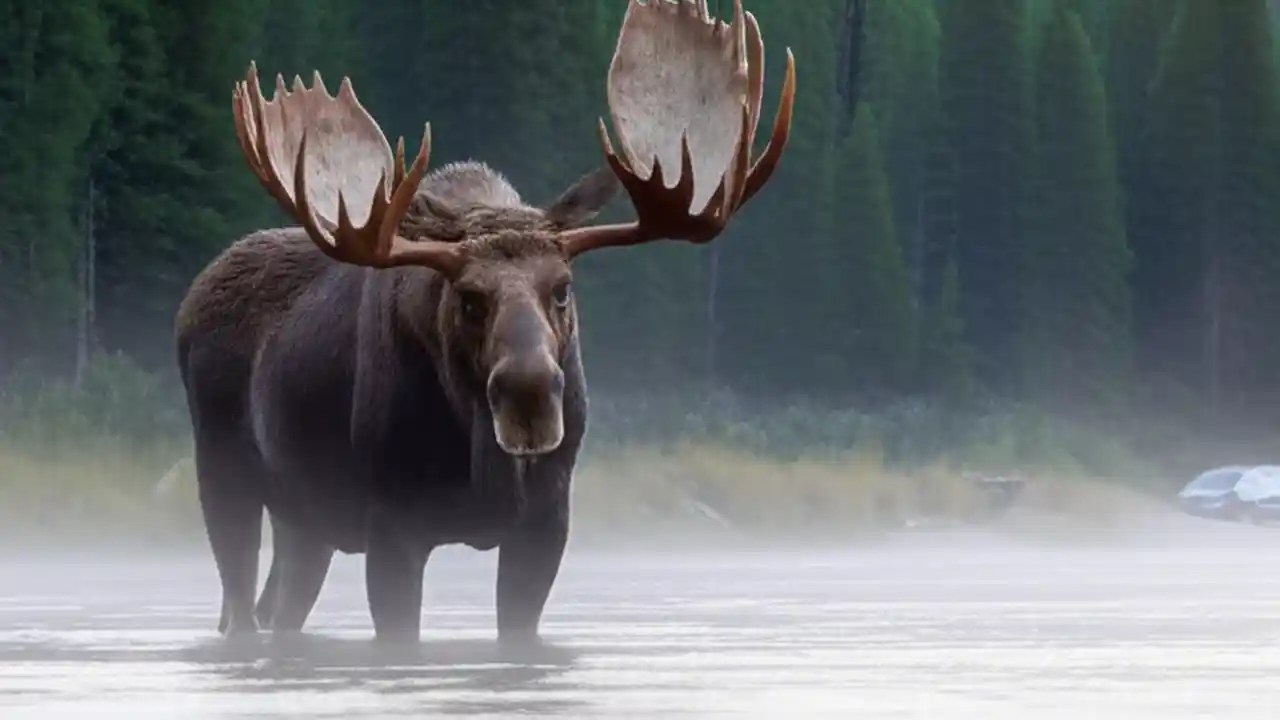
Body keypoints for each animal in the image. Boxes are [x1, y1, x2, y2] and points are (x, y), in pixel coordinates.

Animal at [176, 0, 795, 646]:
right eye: (468, 298)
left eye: (563, 289)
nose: (529, 396)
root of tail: (191, 299)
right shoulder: (392, 522)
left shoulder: (546, 523)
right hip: (223, 475)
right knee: (240, 603)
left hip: (305, 519)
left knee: (280, 605)